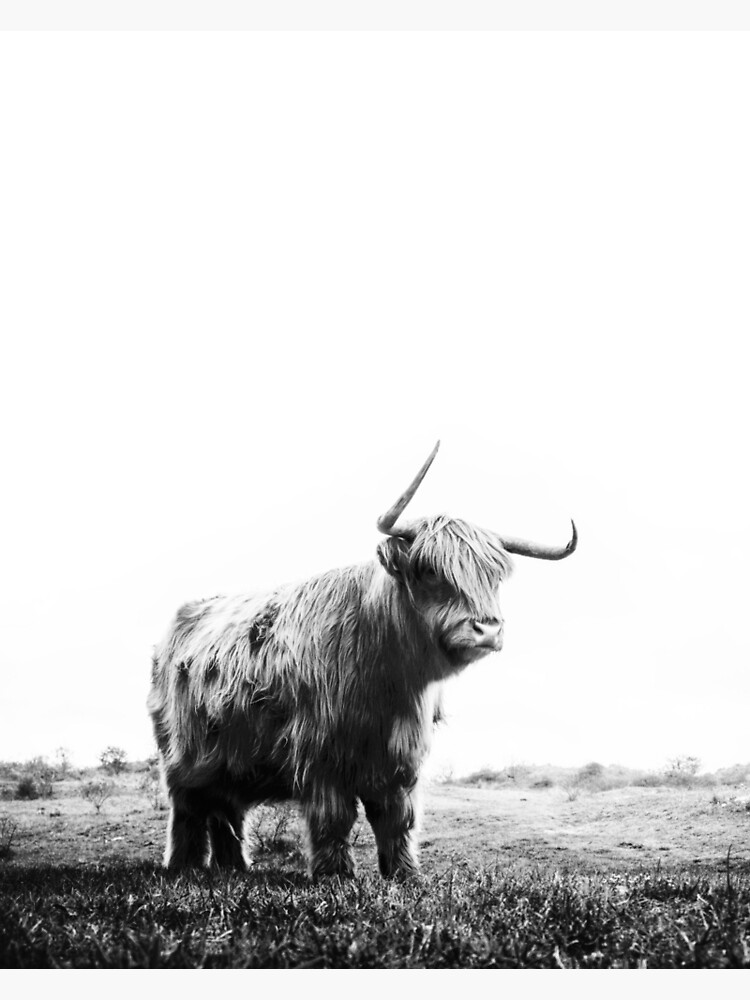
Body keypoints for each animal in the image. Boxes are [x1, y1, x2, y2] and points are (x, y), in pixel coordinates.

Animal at [147, 442, 576, 878]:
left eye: (494, 577)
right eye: (429, 570)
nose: (487, 629)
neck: (389, 680)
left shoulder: (403, 757)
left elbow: (397, 818)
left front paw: (405, 874)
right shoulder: (321, 752)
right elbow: (334, 817)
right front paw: (336, 874)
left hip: (227, 758)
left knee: (226, 811)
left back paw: (232, 868)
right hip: (181, 755)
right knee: (188, 809)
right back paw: (183, 867)